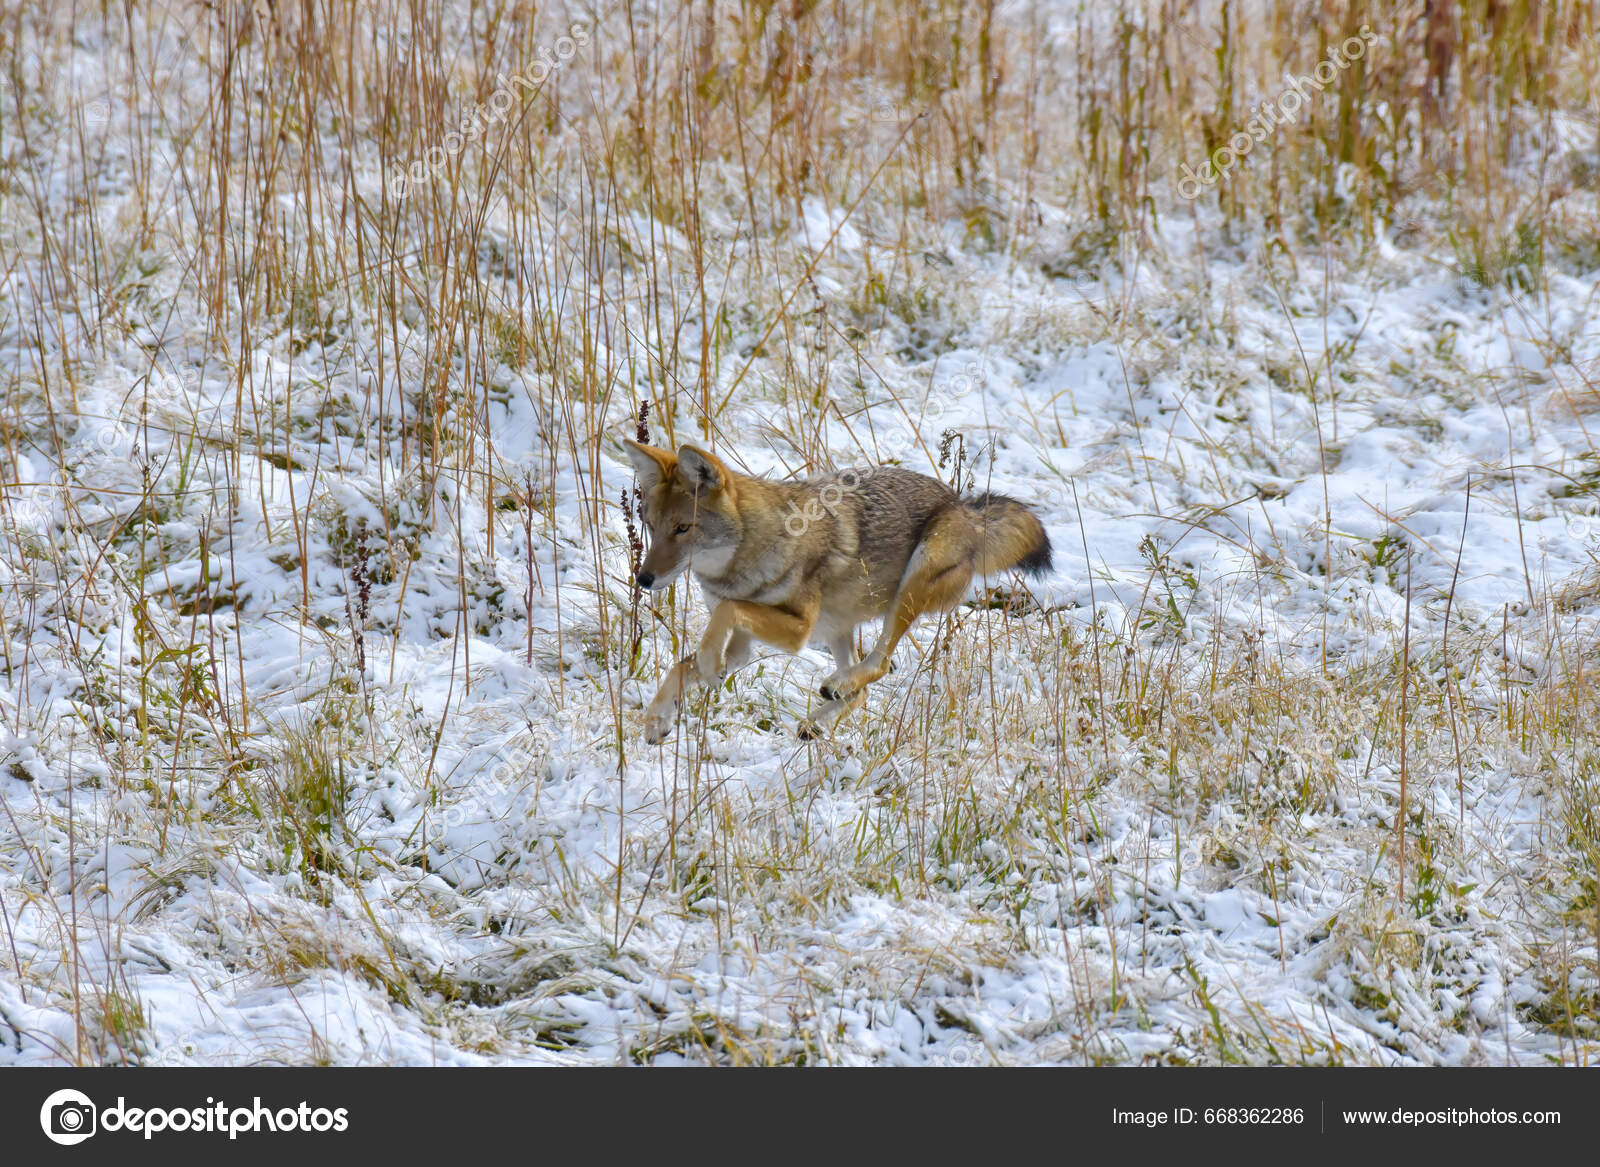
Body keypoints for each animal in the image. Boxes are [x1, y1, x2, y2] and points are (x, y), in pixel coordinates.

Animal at [623, 440, 1052, 743]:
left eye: (683, 529)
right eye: (651, 525)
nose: (643, 580)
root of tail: (964, 506)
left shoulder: (795, 631)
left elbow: (727, 610)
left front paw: (709, 668)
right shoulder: (743, 647)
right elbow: (683, 666)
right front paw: (658, 719)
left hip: (908, 586)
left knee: (879, 664)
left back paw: (834, 690)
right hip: (836, 628)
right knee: (860, 692)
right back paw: (817, 721)